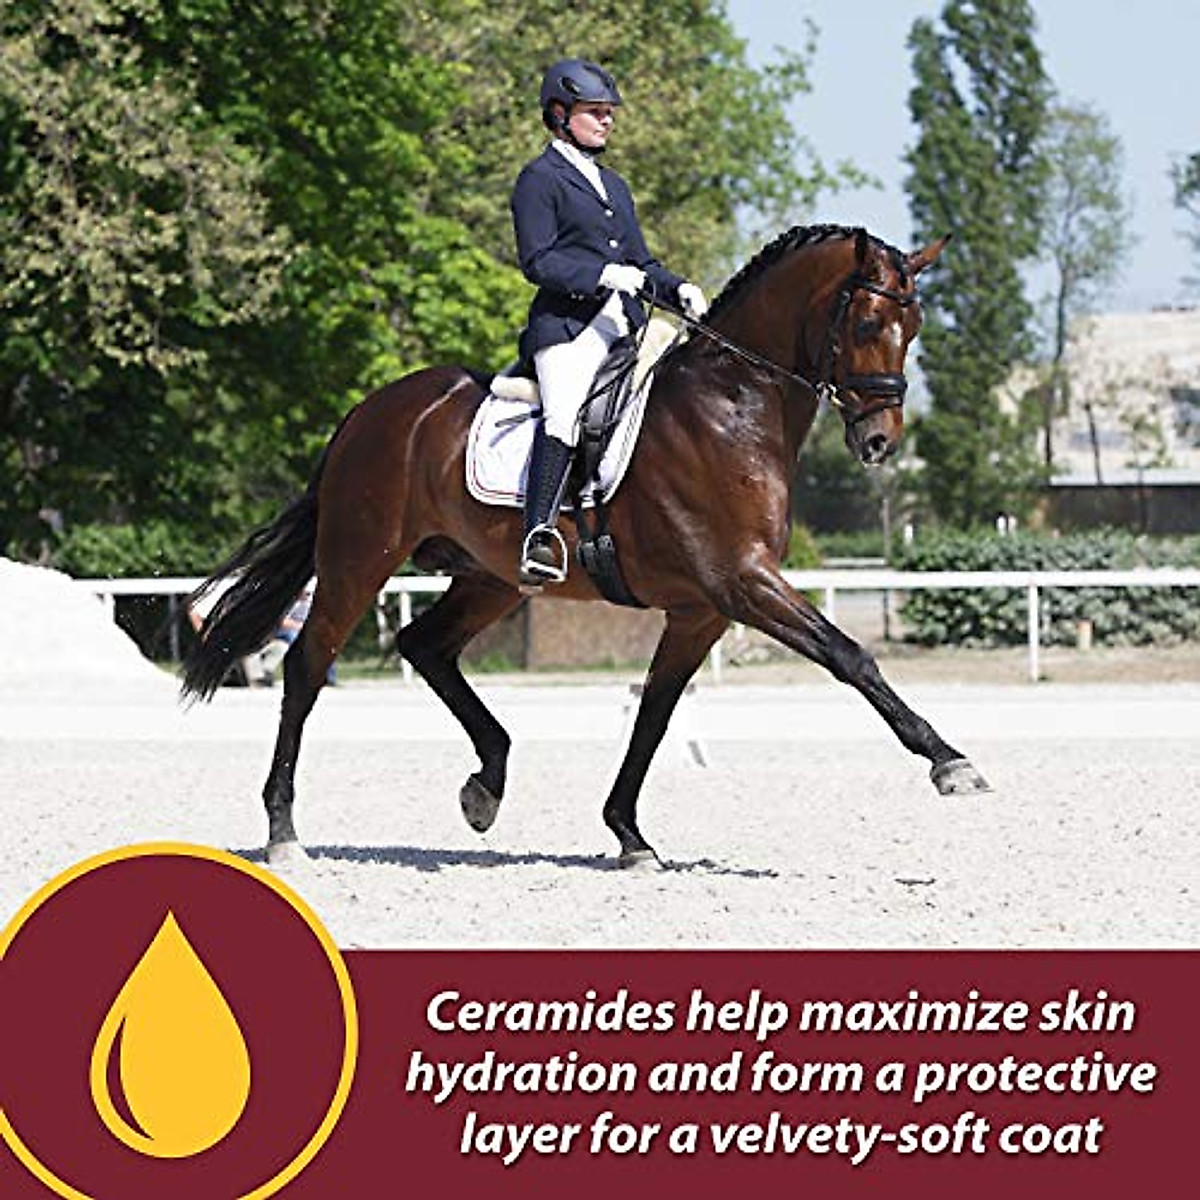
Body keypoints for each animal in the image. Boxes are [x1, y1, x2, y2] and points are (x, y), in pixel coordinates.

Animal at [181, 224, 991, 867]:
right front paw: (951, 763)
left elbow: (655, 716)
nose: (880, 442)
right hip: (360, 558)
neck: (732, 404)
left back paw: (487, 784)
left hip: (491, 577)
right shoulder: (744, 584)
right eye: (868, 323)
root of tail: (370, 409)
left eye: (915, 325)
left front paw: (629, 836)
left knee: (424, 646)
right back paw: (285, 833)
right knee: (307, 666)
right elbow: (851, 657)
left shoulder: (701, 611)